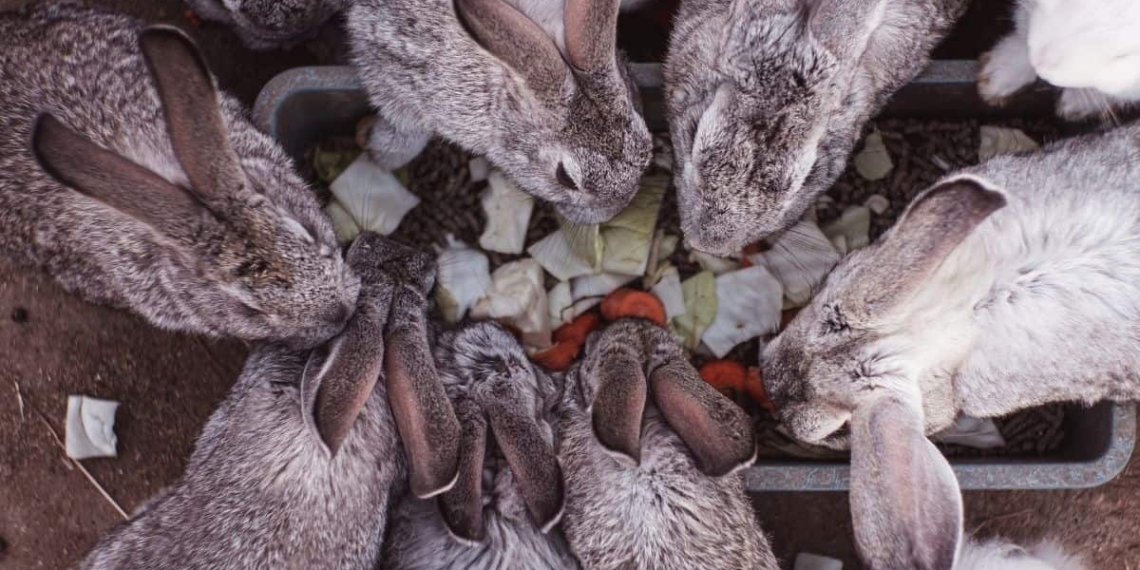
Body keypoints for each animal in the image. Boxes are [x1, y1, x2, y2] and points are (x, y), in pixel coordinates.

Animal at [346, 0, 652, 225]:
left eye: (646, 151)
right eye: (565, 178)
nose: (610, 213)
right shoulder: (392, 70)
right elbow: (404, 128)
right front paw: (379, 154)